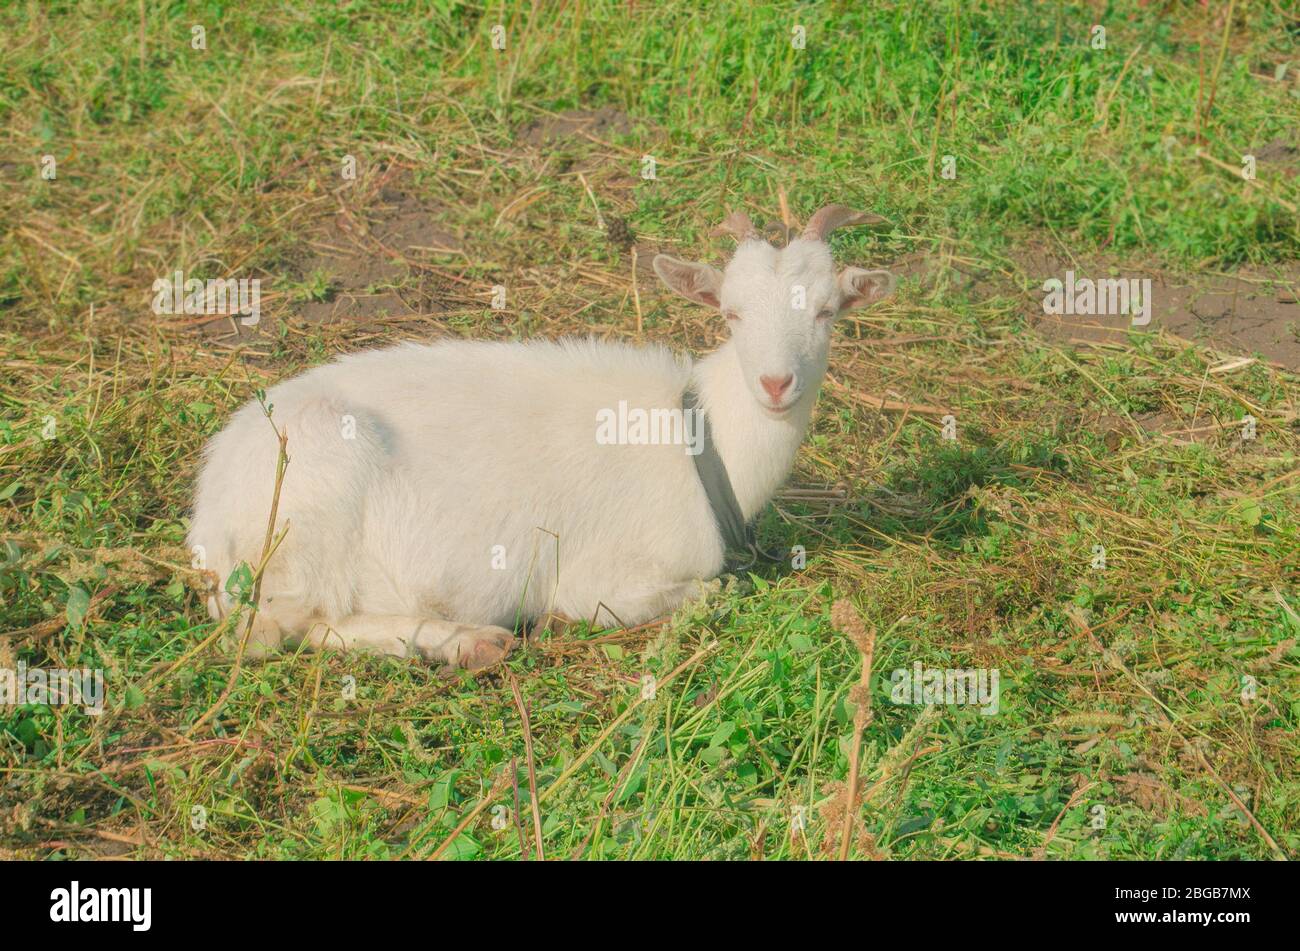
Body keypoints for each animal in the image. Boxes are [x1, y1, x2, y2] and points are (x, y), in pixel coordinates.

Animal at [187, 205, 896, 668]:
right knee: (279, 630)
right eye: (731, 312)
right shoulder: (605, 580)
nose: (776, 384)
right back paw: (464, 640)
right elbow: (703, 590)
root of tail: (208, 516)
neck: (701, 442)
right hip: (316, 499)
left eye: (827, 311)